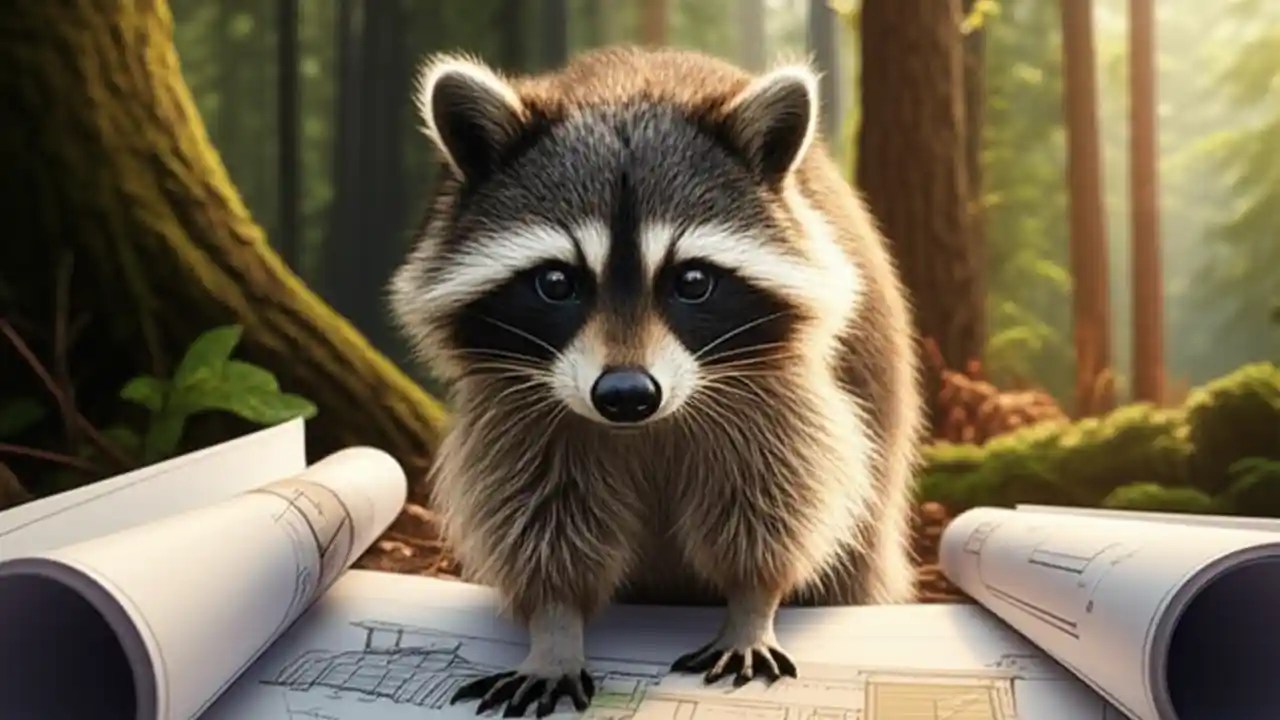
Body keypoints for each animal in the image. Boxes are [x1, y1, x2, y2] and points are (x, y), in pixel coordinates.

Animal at [389, 46, 924, 718]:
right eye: (557, 283)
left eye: (692, 281)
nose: (626, 395)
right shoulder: (518, 407)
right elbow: (537, 513)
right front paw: (555, 627)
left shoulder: (776, 391)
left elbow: (777, 498)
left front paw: (752, 603)